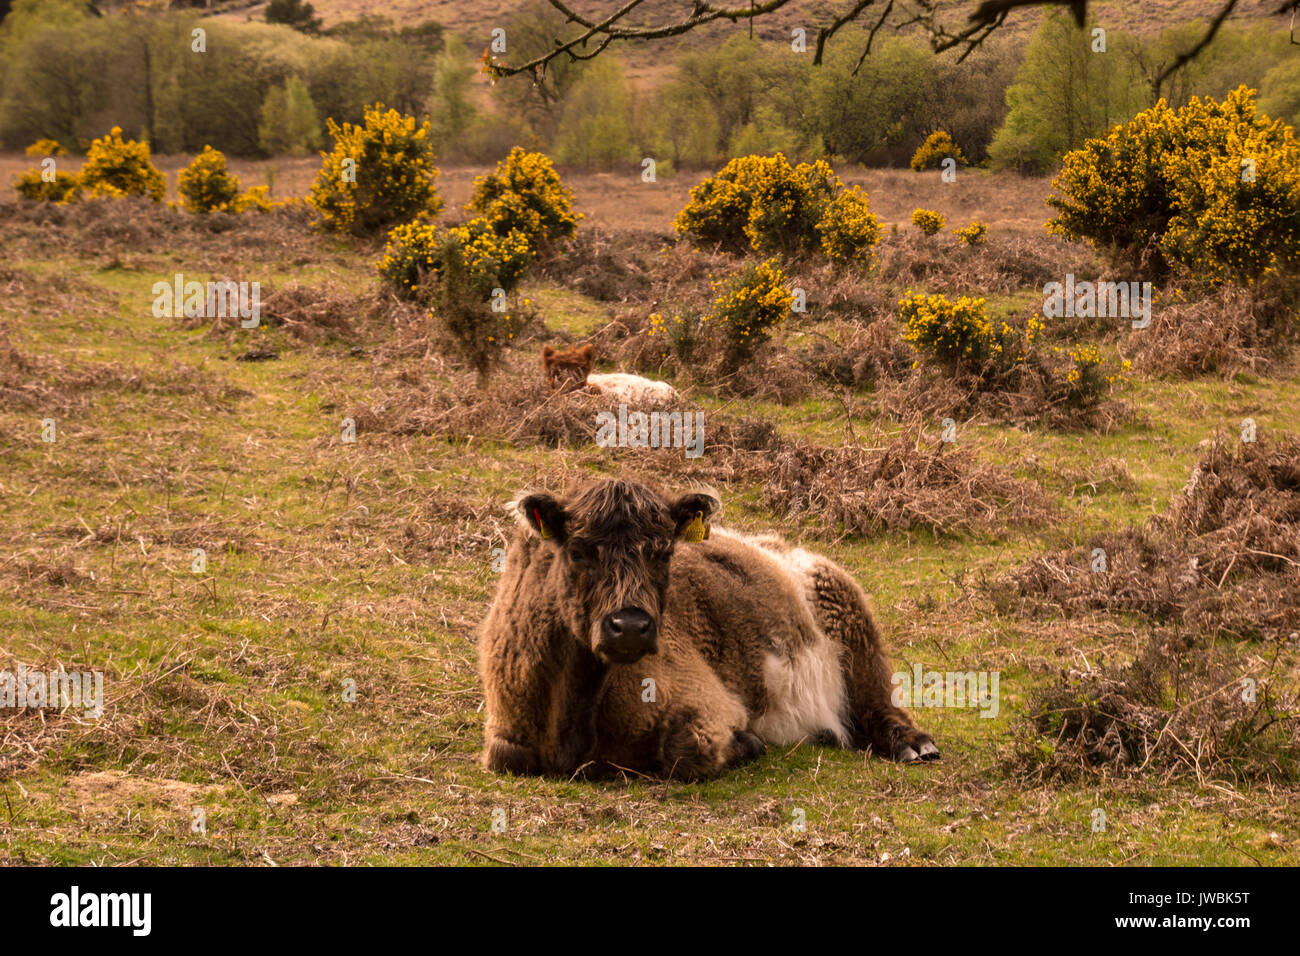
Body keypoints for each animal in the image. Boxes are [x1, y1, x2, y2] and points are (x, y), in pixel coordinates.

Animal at [479, 478, 939, 780]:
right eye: (578, 551)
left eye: (664, 553)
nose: (630, 627)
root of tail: (780, 546)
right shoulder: (505, 737)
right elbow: (507, 756)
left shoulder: (707, 703)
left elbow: (687, 751)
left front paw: (748, 743)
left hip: (848, 616)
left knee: (878, 702)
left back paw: (915, 745)